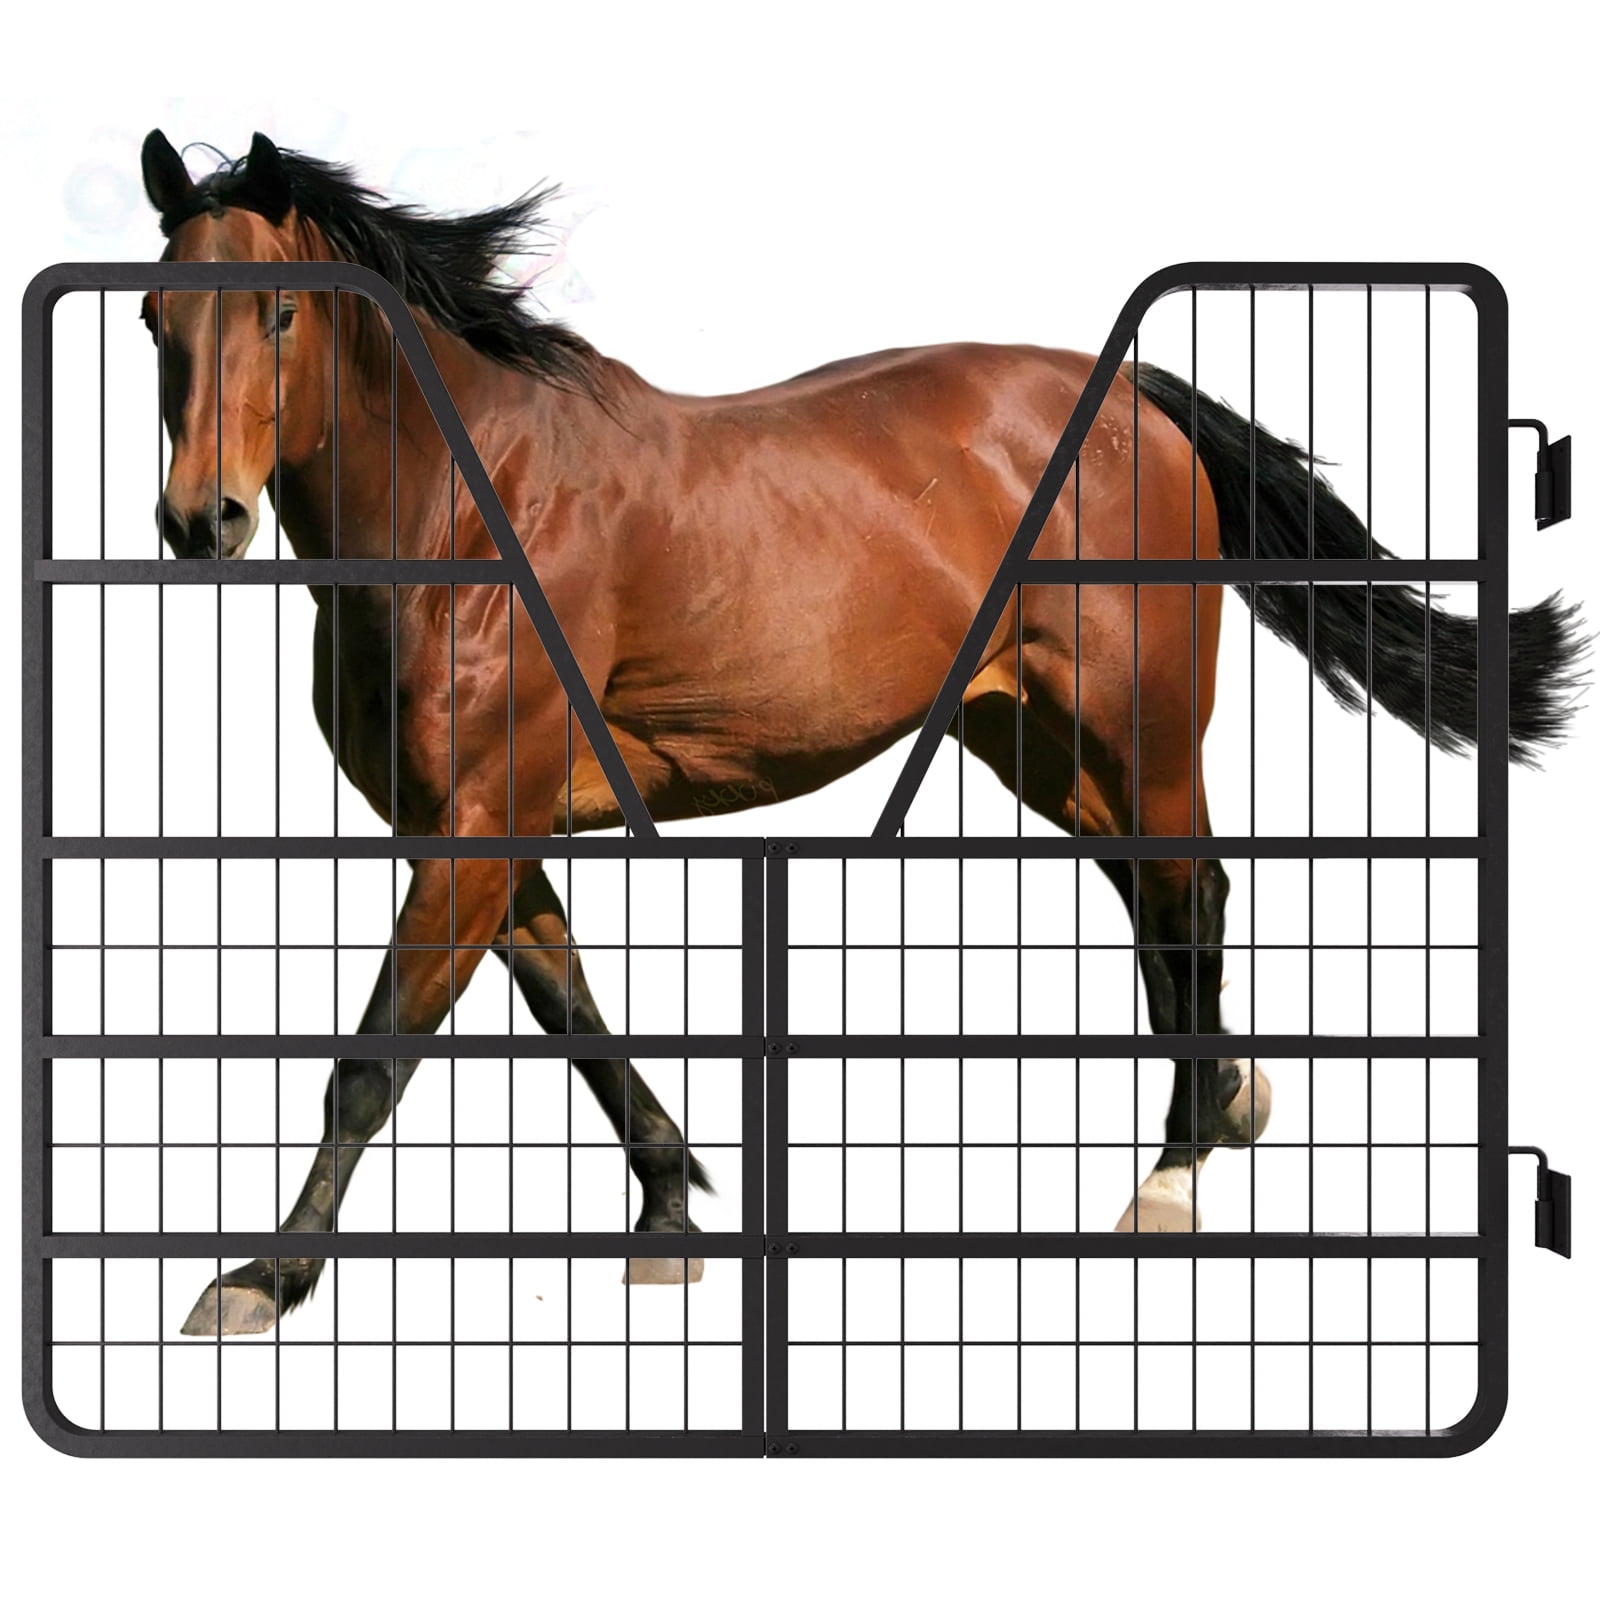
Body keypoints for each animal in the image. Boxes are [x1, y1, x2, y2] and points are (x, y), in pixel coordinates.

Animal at [139, 130, 1584, 1336]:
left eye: (277, 309)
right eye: (155, 317)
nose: (202, 521)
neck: (472, 508)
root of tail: (1136, 398)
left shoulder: (475, 828)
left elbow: (370, 1063)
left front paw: (258, 1279)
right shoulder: (485, 833)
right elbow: (572, 1012)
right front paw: (670, 1213)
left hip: (1142, 731)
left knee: (1190, 895)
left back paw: (1173, 1177)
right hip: (1038, 745)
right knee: (1159, 900)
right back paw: (1229, 1105)